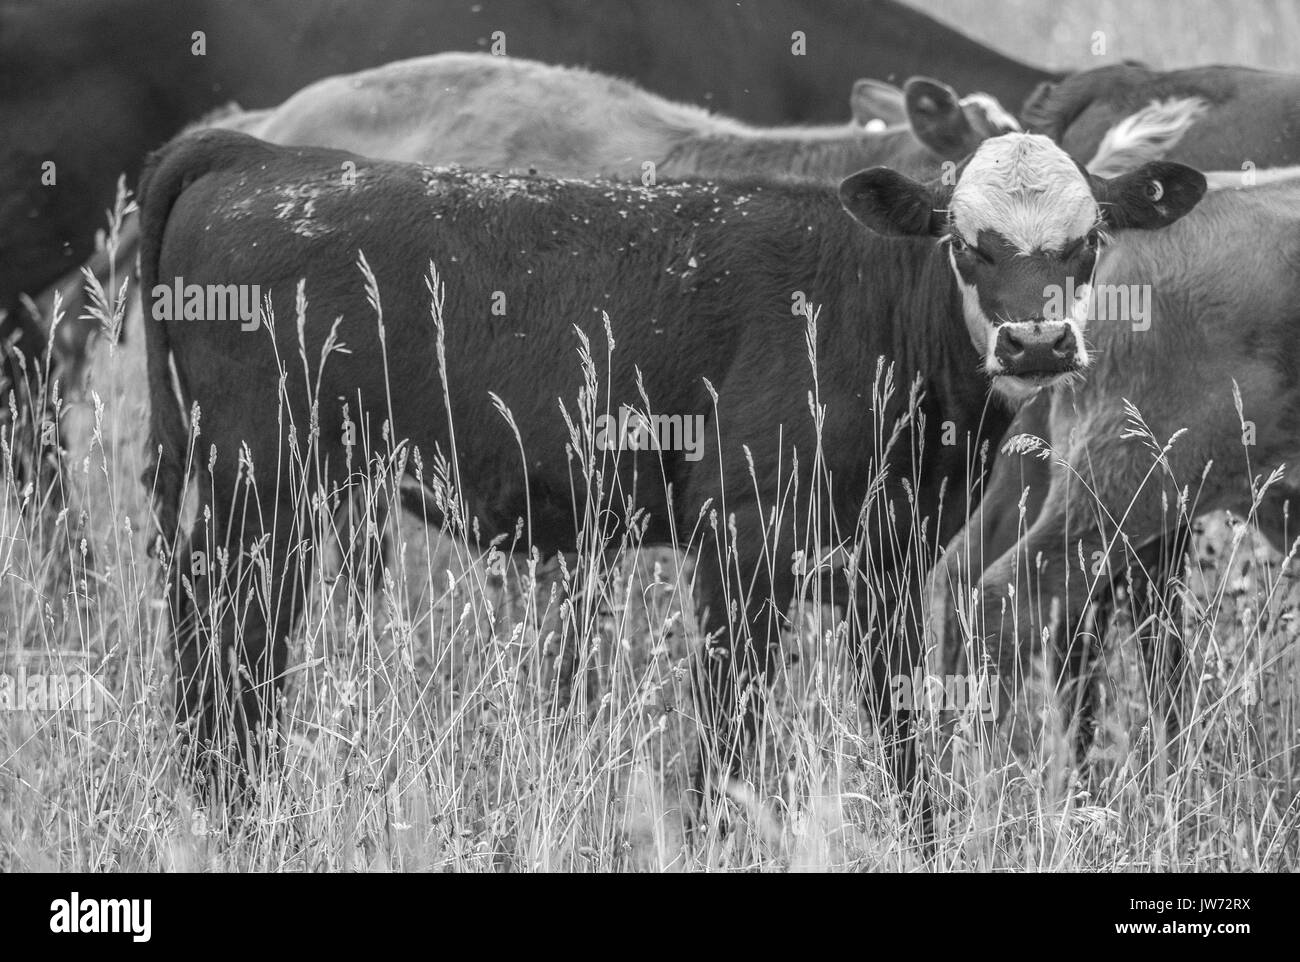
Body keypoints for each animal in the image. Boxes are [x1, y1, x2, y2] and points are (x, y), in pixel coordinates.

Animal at [136, 128, 1202, 823]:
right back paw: (227, 803)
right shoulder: (738, 537)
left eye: (1089, 241)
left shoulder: (891, 559)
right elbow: (730, 727)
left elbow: (902, 726)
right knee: (229, 631)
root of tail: (259, 154)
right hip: (261, 481)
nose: (1037, 341)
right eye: (966, 243)